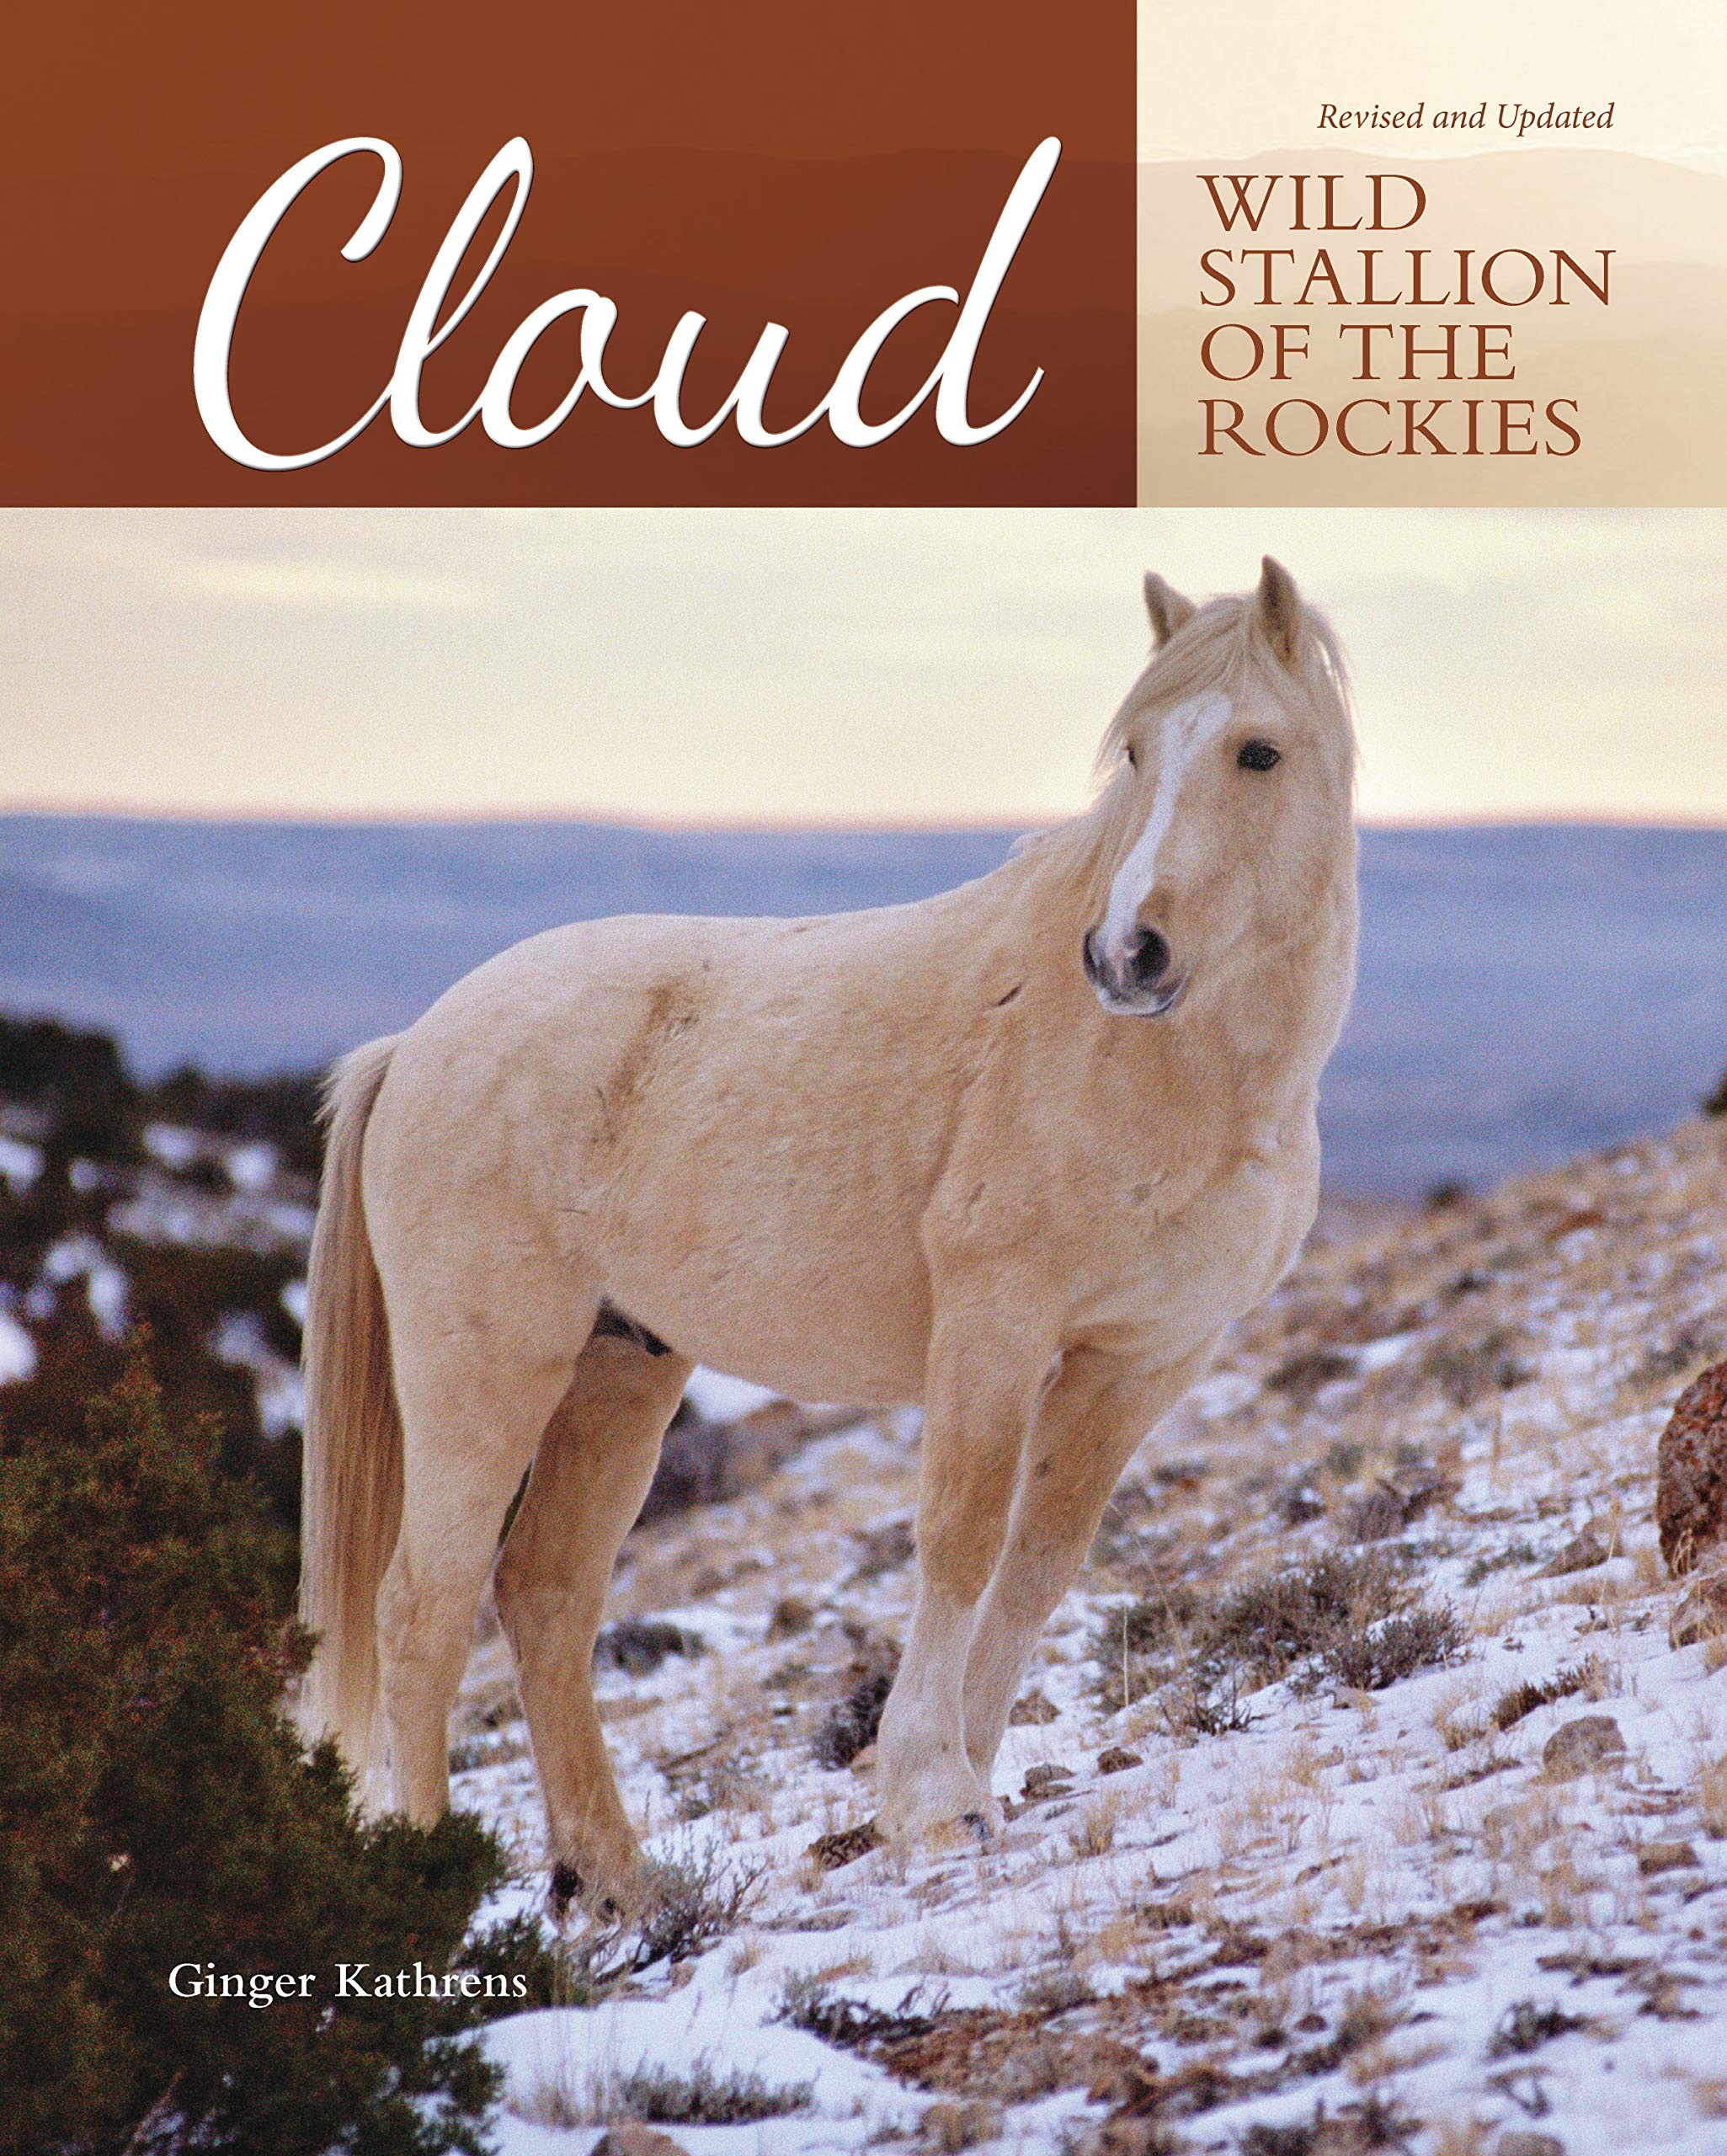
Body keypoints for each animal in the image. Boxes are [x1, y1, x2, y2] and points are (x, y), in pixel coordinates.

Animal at [296, 556, 1359, 1908]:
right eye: (1133, 751)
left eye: (1257, 752)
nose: (1126, 954)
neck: (1167, 1070)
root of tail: (419, 1041)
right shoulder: (994, 1325)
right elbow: (959, 1538)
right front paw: (929, 1798)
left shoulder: (1144, 1358)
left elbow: (1039, 1560)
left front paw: (967, 1772)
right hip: (482, 1378)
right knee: (422, 1611)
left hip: (617, 1376)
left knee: (544, 1596)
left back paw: (619, 1882)